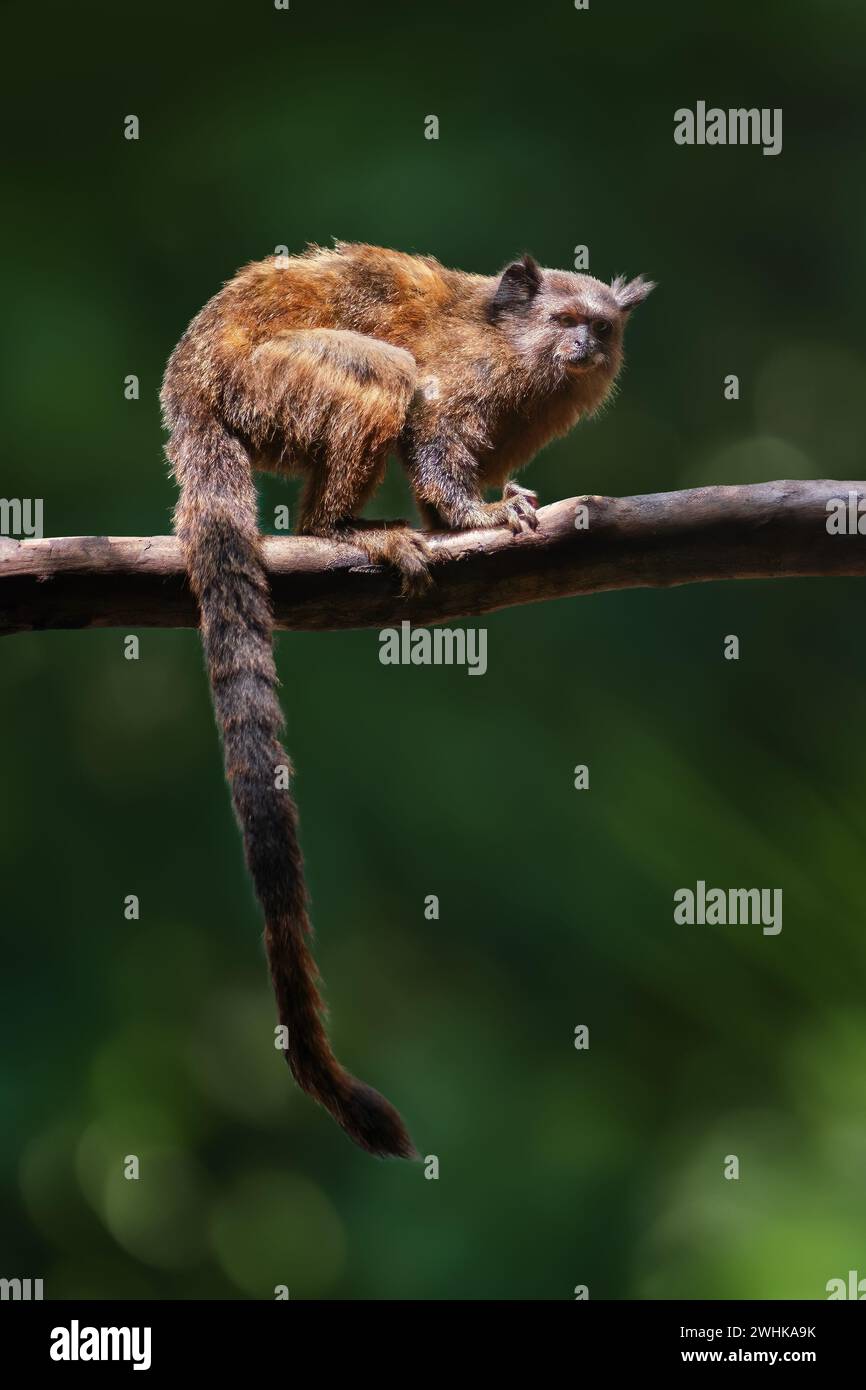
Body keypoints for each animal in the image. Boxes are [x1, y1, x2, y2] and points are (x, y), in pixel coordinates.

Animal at [160, 242, 653, 1158]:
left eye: (600, 329)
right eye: (564, 323)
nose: (583, 350)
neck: (520, 357)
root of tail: (194, 387)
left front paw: (475, 510)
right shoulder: (472, 376)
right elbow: (431, 425)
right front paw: (474, 516)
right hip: (266, 384)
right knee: (384, 374)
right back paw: (334, 528)